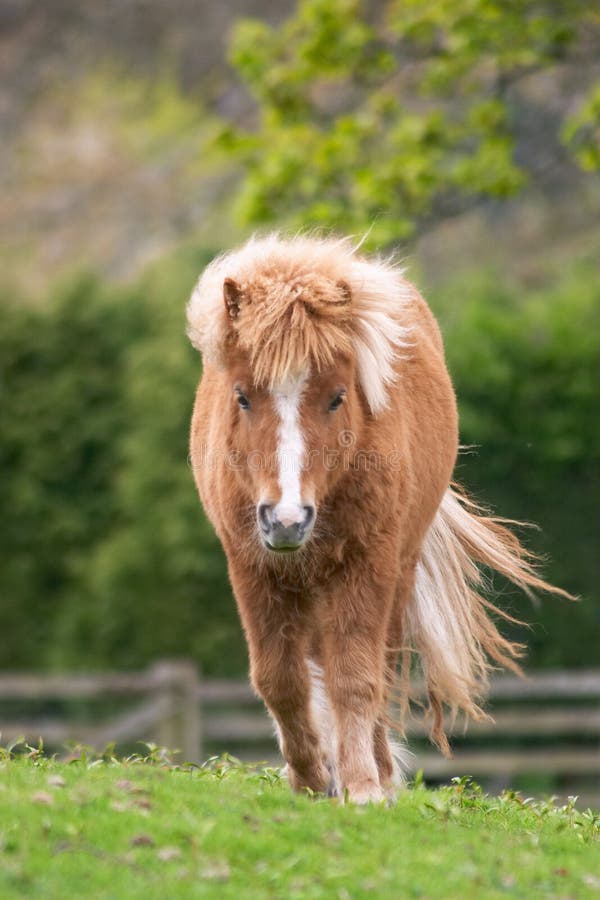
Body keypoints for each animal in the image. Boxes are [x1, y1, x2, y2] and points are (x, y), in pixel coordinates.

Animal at [186, 233, 569, 804]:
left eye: (337, 397)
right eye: (241, 396)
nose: (286, 520)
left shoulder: (368, 565)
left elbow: (357, 676)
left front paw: (364, 786)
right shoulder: (253, 567)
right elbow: (281, 679)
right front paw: (309, 777)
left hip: (396, 572)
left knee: (379, 667)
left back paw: (378, 770)